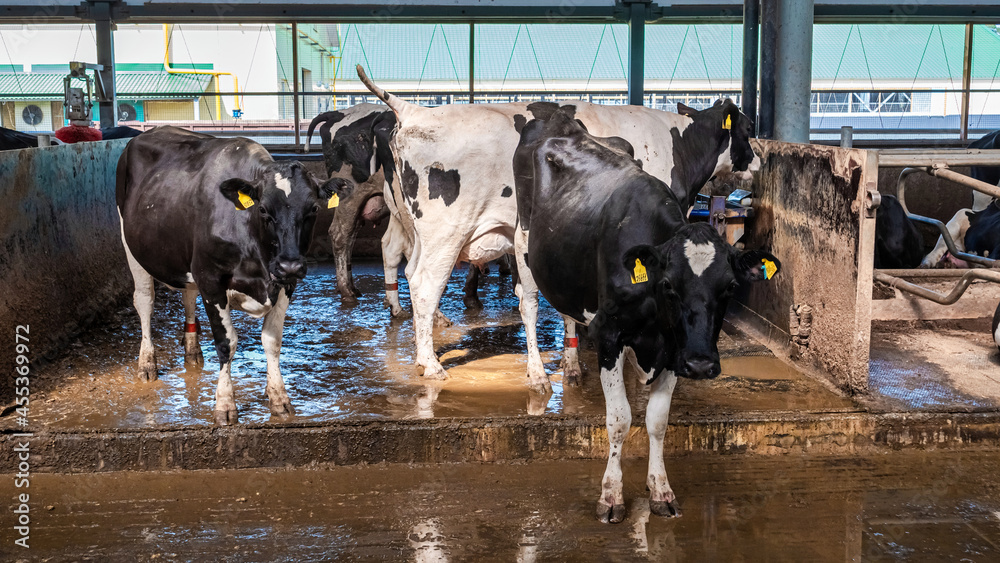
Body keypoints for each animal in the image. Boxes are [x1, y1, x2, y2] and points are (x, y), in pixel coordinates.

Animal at [117, 126, 352, 425]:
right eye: (262, 209)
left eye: (314, 209)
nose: (289, 265)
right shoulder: (210, 279)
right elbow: (226, 343)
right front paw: (225, 404)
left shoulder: (285, 285)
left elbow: (272, 341)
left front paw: (279, 397)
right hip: (131, 245)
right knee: (144, 301)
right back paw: (147, 362)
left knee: (187, 297)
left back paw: (192, 349)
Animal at [357, 64, 759, 387]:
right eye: (749, 127)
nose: (759, 161)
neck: (678, 143)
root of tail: (413, 110)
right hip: (446, 233)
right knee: (425, 284)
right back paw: (430, 363)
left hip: (412, 225)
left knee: (401, 261)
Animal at [513, 109, 779, 523]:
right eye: (669, 284)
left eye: (730, 287)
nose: (702, 365)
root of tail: (558, 120)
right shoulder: (609, 335)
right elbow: (619, 420)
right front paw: (611, 496)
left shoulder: (674, 348)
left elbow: (657, 421)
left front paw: (660, 490)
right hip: (524, 242)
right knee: (529, 303)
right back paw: (539, 375)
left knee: (567, 311)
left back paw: (572, 365)